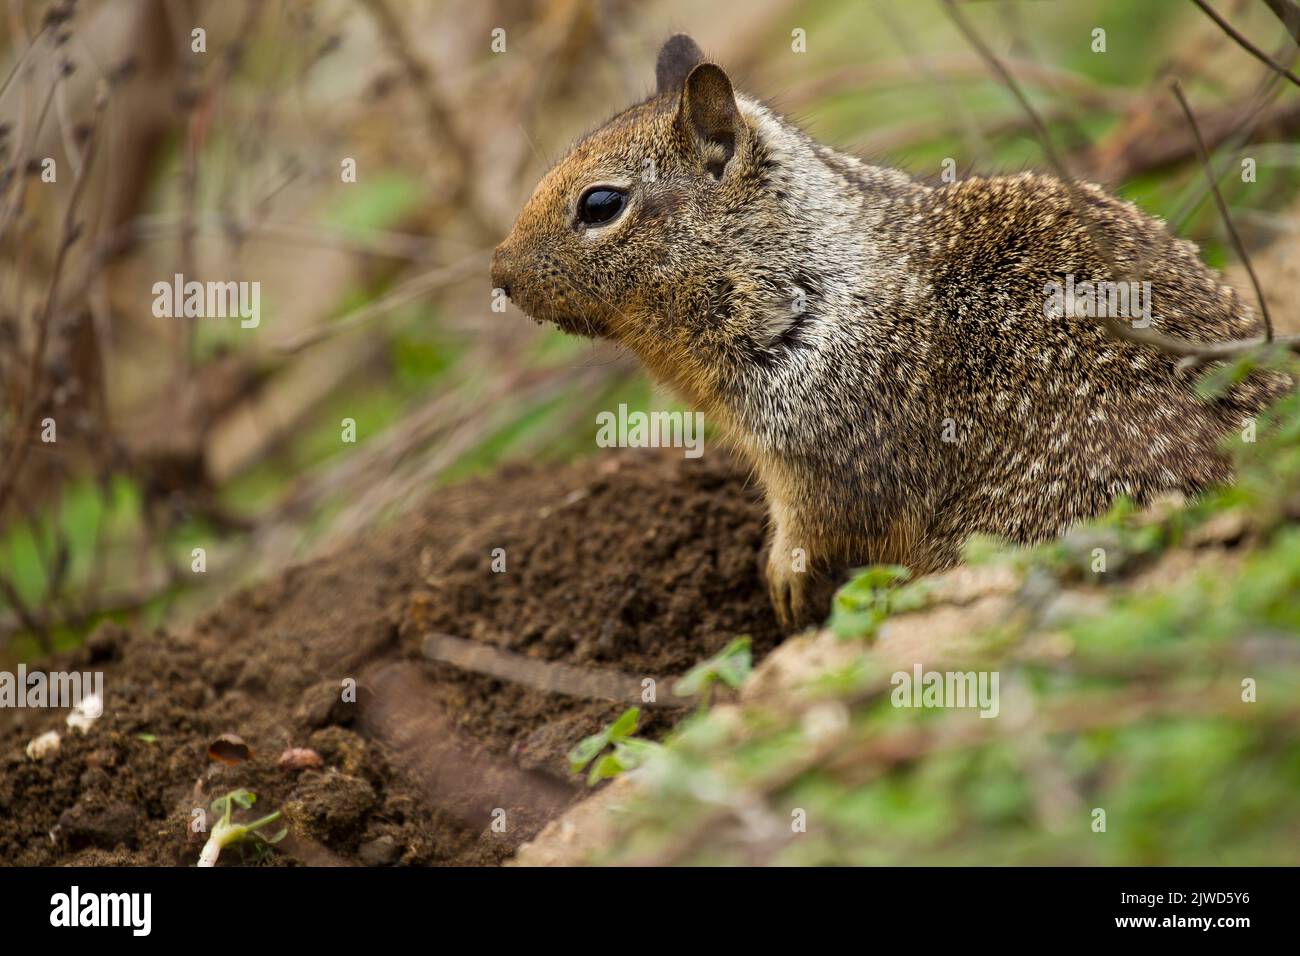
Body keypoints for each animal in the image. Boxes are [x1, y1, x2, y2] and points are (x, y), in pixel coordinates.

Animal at [491, 34, 1287, 629]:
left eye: (600, 204)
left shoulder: (827, 452)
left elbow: (815, 527)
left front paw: (783, 581)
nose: (498, 272)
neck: (799, 273)